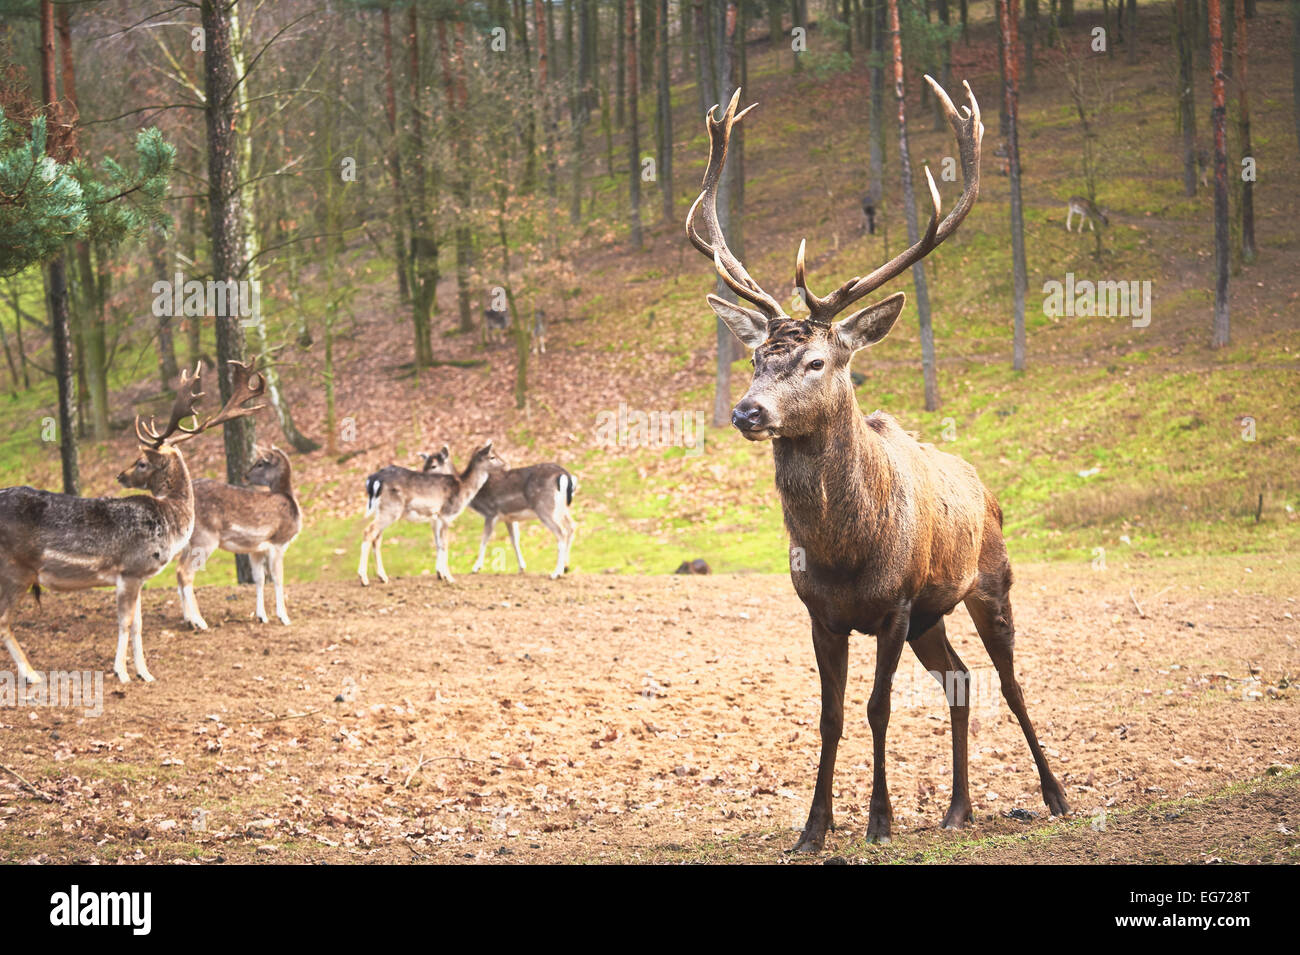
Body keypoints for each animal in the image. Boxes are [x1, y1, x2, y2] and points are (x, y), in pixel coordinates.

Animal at [0, 360, 265, 684]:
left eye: (141, 462)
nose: (120, 475)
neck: (170, 522)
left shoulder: (139, 577)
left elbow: (138, 624)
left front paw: (145, 673)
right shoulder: (129, 571)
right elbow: (125, 623)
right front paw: (122, 673)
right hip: (16, 569)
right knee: (3, 621)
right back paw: (32, 674)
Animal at [358, 442, 507, 585]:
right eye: (492, 456)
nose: (505, 464)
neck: (463, 489)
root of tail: (373, 480)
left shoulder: (437, 517)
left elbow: (439, 543)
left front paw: (442, 575)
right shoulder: (446, 514)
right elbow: (445, 544)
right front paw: (450, 578)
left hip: (381, 510)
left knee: (377, 538)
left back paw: (383, 577)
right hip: (391, 509)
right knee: (368, 531)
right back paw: (364, 579)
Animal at [687, 82, 1069, 852]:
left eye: (815, 361)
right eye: (755, 356)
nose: (746, 411)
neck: (845, 549)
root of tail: (986, 488)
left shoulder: (894, 604)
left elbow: (877, 707)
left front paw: (880, 821)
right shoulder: (821, 613)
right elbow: (831, 715)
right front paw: (812, 828)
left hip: (987, 582)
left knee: (1011, 682)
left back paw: (1055, 794)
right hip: (932, 617)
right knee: (961, 679)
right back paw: (957, 809)